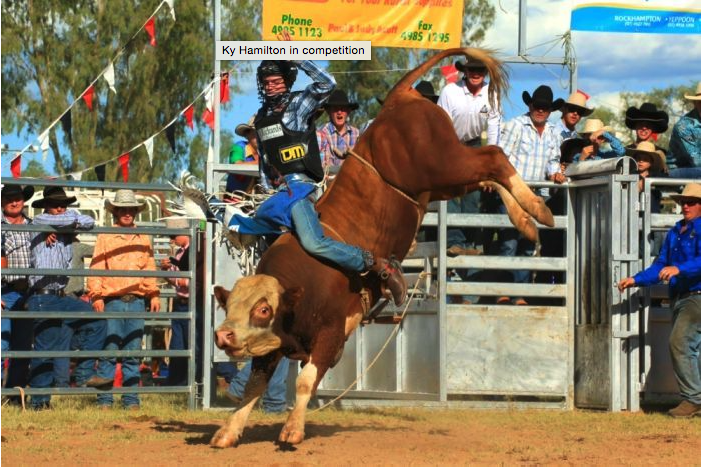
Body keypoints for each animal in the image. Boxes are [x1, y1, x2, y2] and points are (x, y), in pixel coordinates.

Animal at [210, 47, 554, 448]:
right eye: (230, 305)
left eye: (263, 309)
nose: (223, 335)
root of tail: (398, 100)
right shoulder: (273, 350)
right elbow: (253, 387)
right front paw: (228, 432)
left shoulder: (332, 333)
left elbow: (305, 381)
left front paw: (293, 430)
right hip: (440, 185)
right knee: (488, 174)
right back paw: (528, 220)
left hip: (442, 164)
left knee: (494, 156)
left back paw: (538, 210)